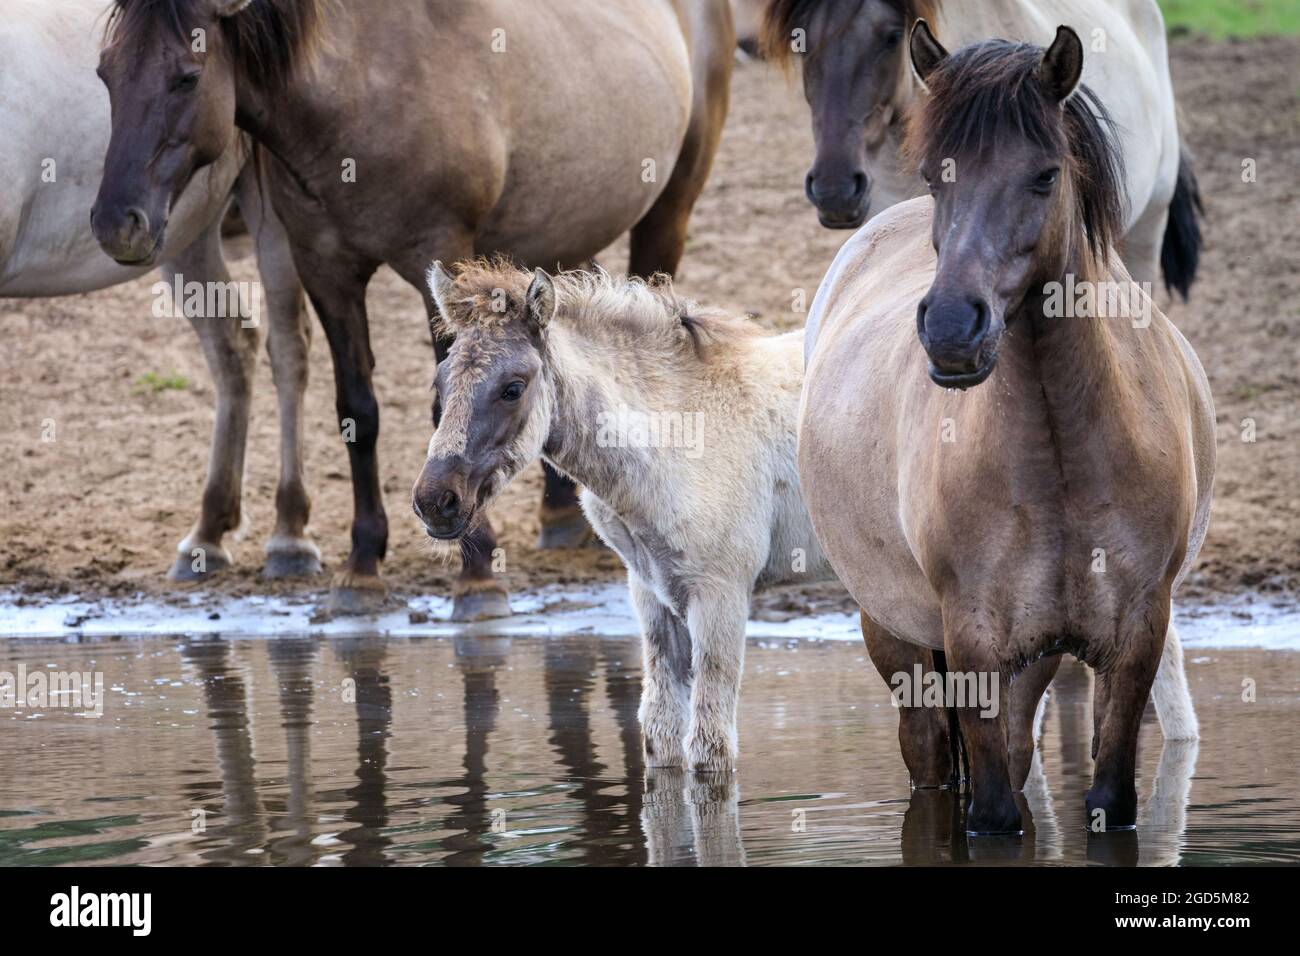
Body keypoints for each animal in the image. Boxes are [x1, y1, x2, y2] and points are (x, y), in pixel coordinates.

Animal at [1, 0, 319, 582]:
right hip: (178, 233)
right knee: (232, 345)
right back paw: (209, 533)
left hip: (270, 218)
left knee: (289, 348)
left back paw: (290, 536)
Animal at [91, 0, 734, 621]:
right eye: (104, 73)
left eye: (187, 77)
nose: (116, 222)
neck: (359, 86)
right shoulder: (324, 269)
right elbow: (357, 412)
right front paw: (361, 565)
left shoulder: (440, 256)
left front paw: (477, 573)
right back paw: (559, 514)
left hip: (670, 207)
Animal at [413, 261, 831, 772]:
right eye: (440, 383)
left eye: (512, 388)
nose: (435, 501)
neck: (680, 431)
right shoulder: (651, 590)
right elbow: (660, 732)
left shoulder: (721, 594)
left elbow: (709, 746)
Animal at [797, 24, 1215, 833]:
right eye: (934, 177)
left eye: (1044, 176)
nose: (952, 328)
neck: (1060, 456)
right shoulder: (972, 643)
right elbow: (988, 812)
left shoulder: (1133, 641)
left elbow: (1104, 794)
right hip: (896, 637)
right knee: (931, 757)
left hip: (1033, 665)